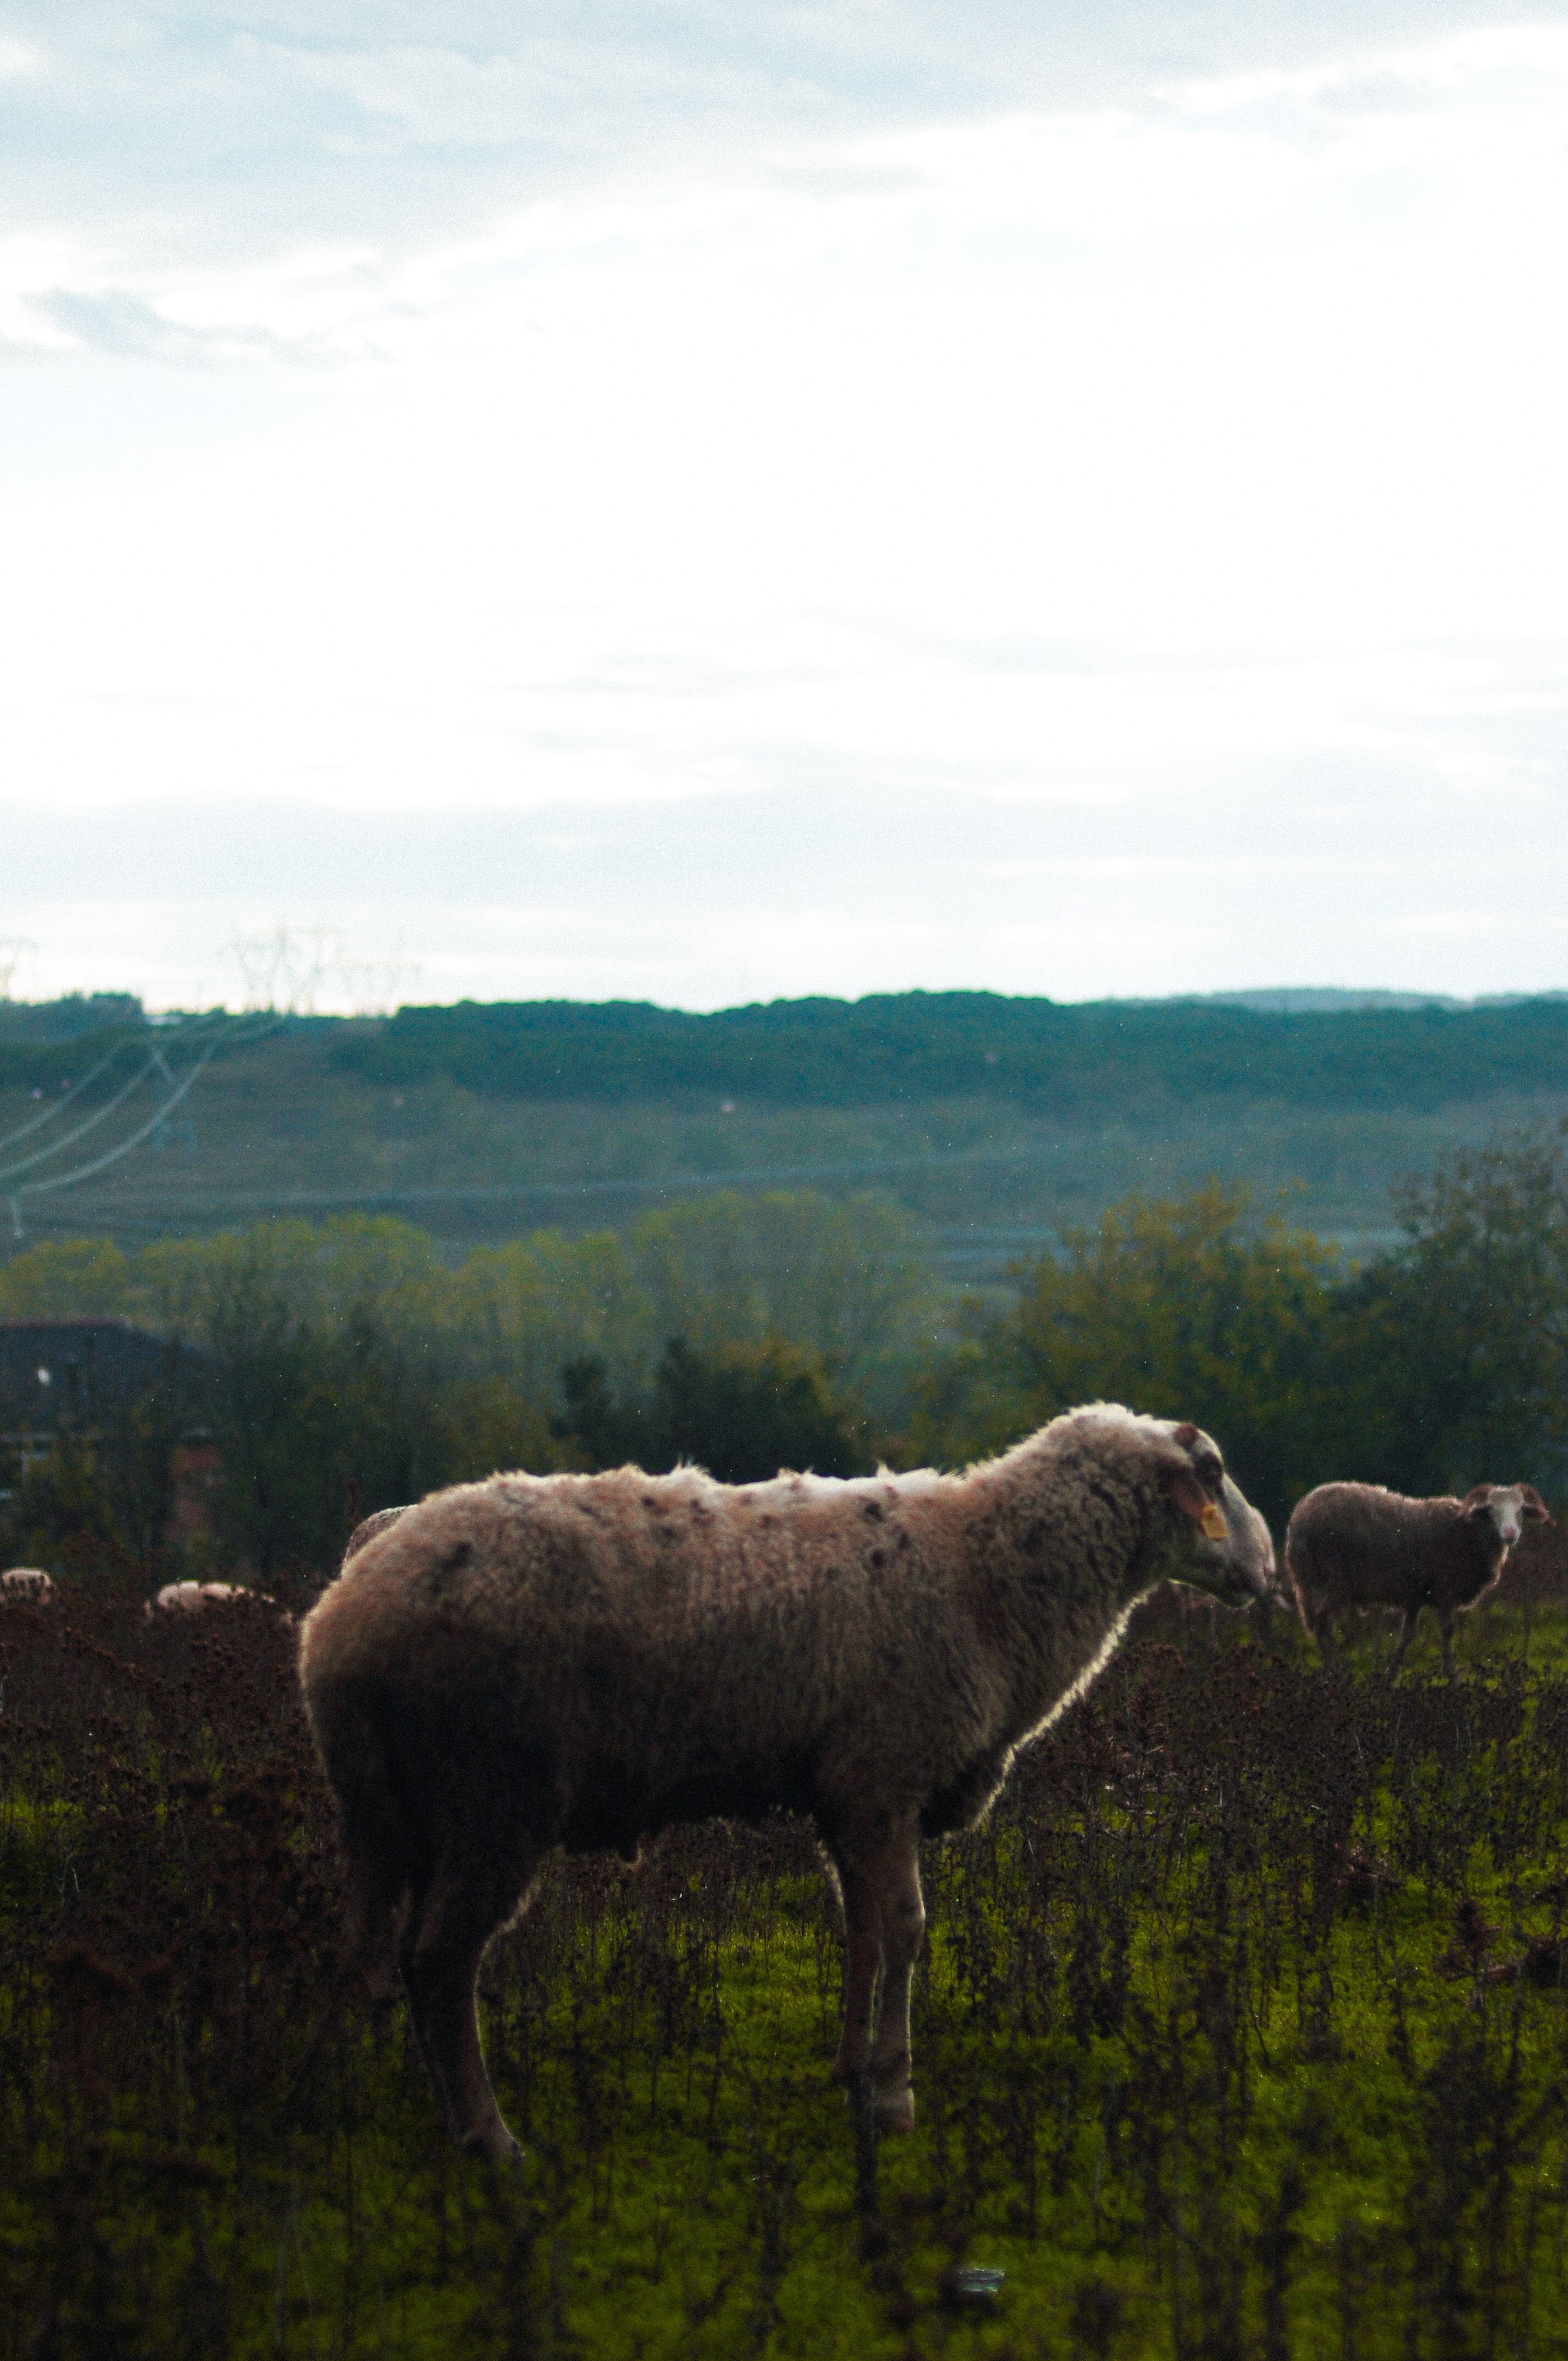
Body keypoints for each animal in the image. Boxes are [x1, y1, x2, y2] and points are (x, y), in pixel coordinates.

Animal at [299, 1404, 1275, 2163]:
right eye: (1214, 1474)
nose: (1266, 1571)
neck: (986, 1575)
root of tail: (343, 1613)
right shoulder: (885, 1776)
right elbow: (906, 1930)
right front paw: (895, 2096)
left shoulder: (847, 1794)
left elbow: (862, 1930)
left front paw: (852, 2069)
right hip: (492, 1796)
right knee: (439, 1960)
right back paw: (488, 2135)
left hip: (393, 1811)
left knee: (374, 1954)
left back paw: (393, 2108)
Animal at [1285, 1480, 1551, 1675]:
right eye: (1490, 1510)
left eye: (1521, 1511)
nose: (1510, 1533)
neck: (1467, 1533)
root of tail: (1300, 1519)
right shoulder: (1444, 1591)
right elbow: (1447, 1631)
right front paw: (1452, 1677)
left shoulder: (1414, 1595)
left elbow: (1407, 1635)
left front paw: (1390, 1677)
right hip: (1335, 1581)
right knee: (1323, 1623)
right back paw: (1337, 1673)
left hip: (1308, 1581)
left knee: (1320, 1625)